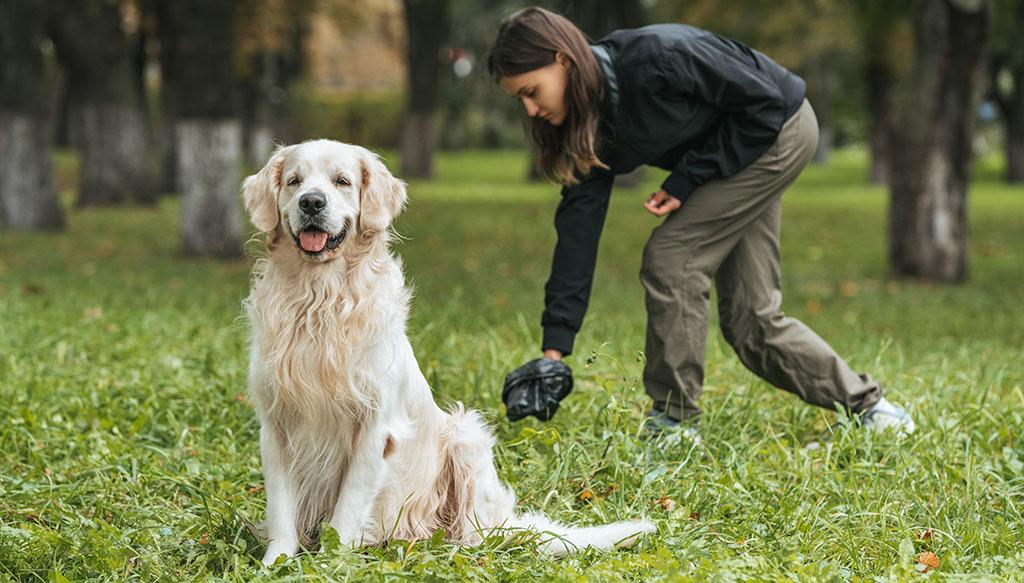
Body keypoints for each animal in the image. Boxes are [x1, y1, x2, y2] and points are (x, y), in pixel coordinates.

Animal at [243, 139, 651, 565]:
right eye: (294, 181)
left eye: (342, 181)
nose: (311, 202)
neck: (319, 300)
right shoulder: (276, 424)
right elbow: (281, 508)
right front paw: (276, 562)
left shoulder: (375, 427)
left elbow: (347, 510)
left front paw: (328, 562)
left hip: (466, 437)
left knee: (476, 533)